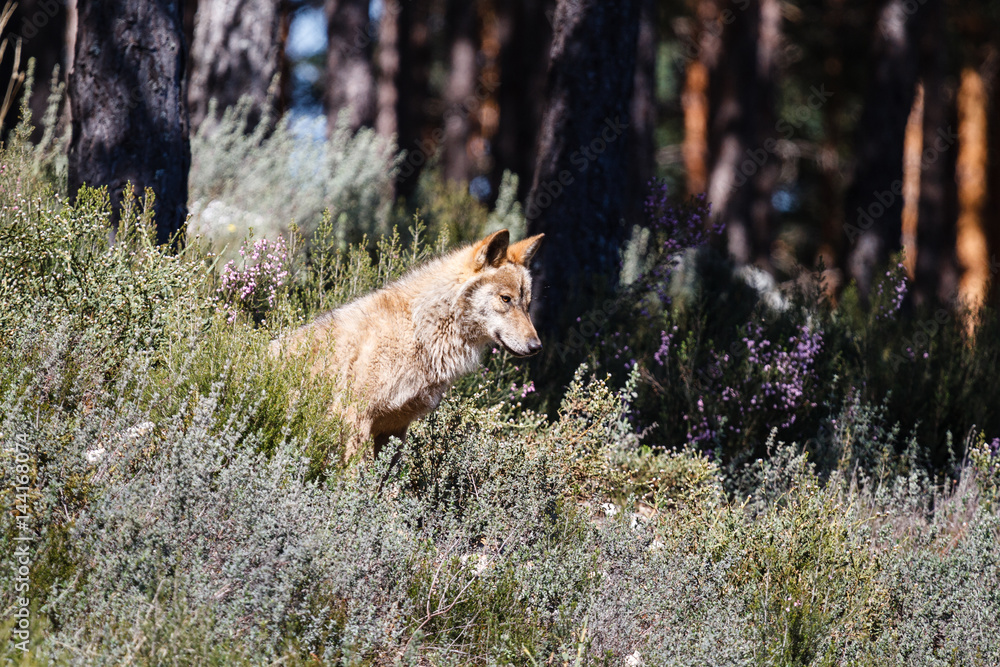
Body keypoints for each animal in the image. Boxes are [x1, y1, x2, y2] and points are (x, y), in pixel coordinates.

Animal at [271, 229, 544, 462]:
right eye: (506, 299)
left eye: (527, 305)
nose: (536, 347)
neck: (417, 329)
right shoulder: (356, 418)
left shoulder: (396, 427)